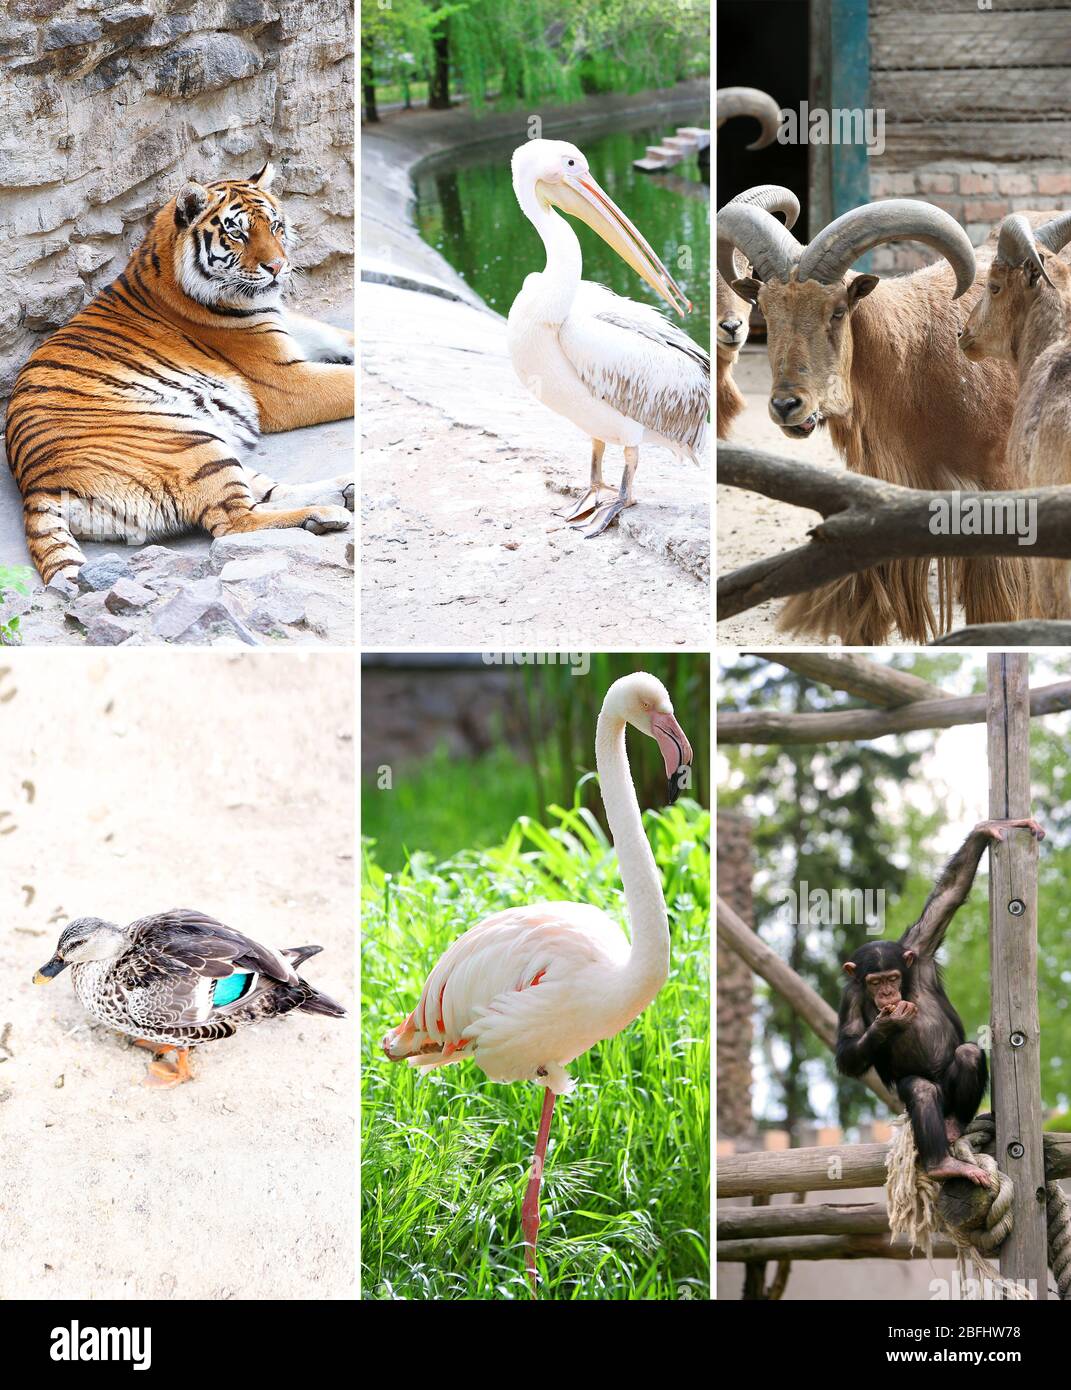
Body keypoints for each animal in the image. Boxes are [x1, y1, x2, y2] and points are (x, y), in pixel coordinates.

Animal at [835, 817, 1045, 1184]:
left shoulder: (919, 949)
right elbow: (848, 1050)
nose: (887, 994)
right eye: (874, 982)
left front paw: (986, 829)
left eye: (893, 977)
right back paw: (941, 1163)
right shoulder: (850, 997)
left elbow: (950, 892)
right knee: (920, 1090)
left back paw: (952, 1125)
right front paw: (885, 1024)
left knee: (968, 1054)